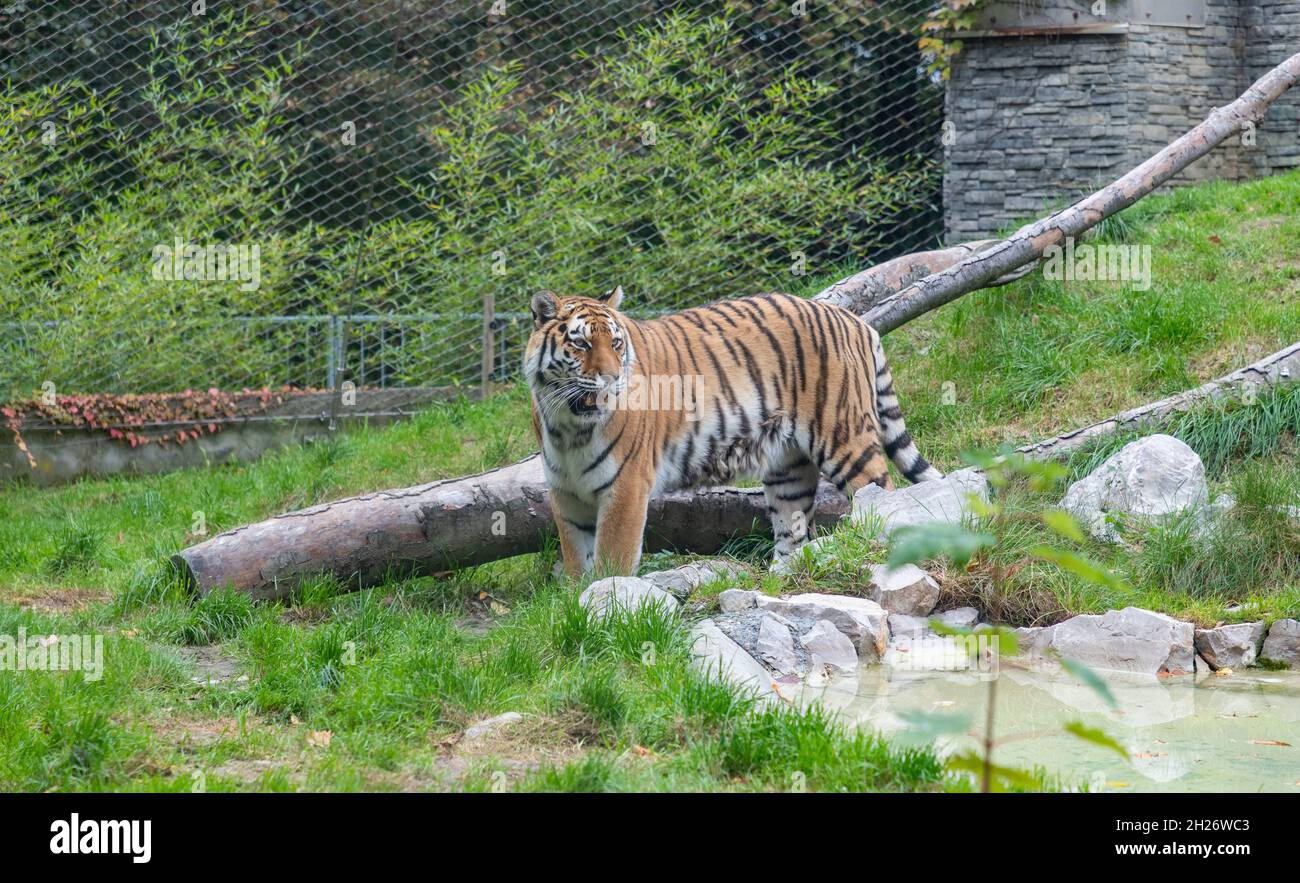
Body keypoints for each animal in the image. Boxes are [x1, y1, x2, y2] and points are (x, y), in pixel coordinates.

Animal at [524, 284, 942, 578]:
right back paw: (780, 578)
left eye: (615, 343)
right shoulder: (566, 493)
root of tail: (855, 320)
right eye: (581, 343)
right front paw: (578, 605)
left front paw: (608, 605)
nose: (612, 380)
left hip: (845, 438)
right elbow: (577, 561)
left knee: (882, 495)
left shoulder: (625, 488)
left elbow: (613, 560)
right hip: (788, 468)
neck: (569, 427)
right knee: (793, 528)